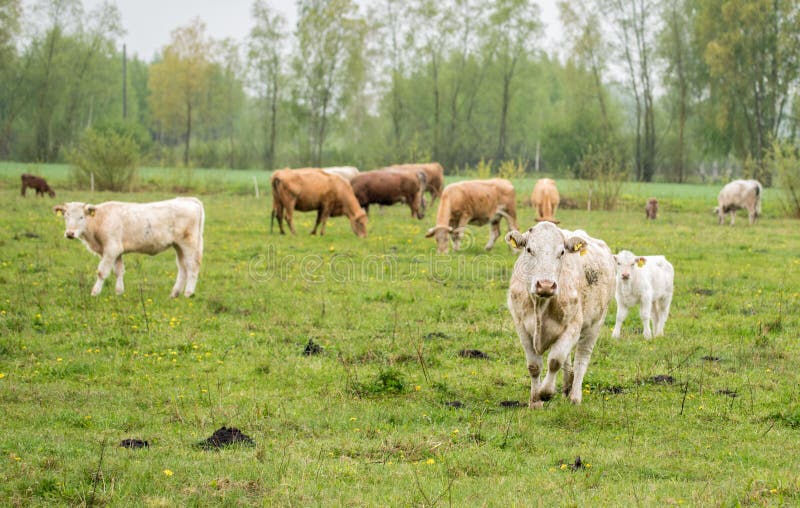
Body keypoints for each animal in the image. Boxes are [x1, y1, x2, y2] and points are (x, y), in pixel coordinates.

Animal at [53, 197, 204, 298]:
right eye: (66, 216)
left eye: (81, 217)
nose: (70, 233)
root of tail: (188, 200)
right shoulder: (117, 251)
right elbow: (119, 271)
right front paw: (119, 292)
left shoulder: (111, 249)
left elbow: (102, 272)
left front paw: (95, 292)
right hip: (178, 246)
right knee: (182, 268)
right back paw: (174, 294)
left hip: (189, 244)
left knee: (192, 267)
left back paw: (188, 293)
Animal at [505, 223, 616, 408]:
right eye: (529, 249)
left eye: (562, 252)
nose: (545, 285)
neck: (541, 305)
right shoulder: (522, 327)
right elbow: (534, 366)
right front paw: (535, 401)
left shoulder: (573, 327)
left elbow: (555, 361)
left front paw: (545, 392)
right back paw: (566, 387)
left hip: (595, 324)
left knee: (581, 360)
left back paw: (575, 396)